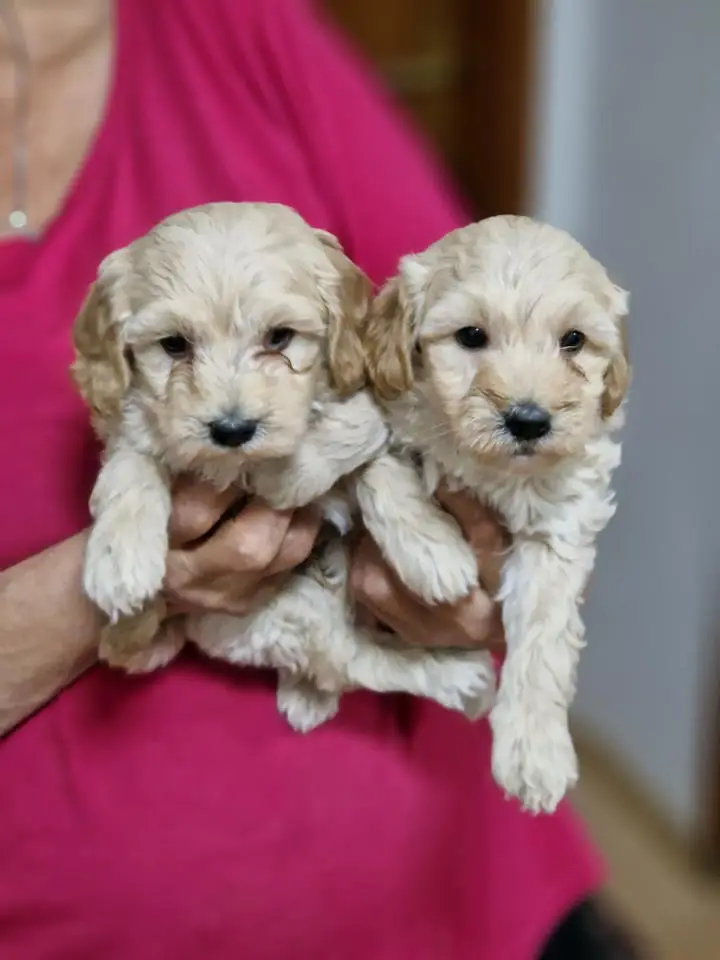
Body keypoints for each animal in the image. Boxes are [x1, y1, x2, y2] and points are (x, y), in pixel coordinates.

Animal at [73, 201, 496, 728]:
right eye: (173, 345)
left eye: (279, 338)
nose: (232, 430)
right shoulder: (130, 422)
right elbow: (130, 466)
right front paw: (119, 559)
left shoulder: (376, 408)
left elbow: (374, 457)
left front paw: (433, 551)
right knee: (348, 661)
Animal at [360, 218, 632, 808]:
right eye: (470, 337)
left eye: (573, 340)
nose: (528, 420)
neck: (491, 469)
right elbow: (379, 471)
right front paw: (435, 556)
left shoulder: (558, 528)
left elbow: (543, 643)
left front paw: (535, 753)